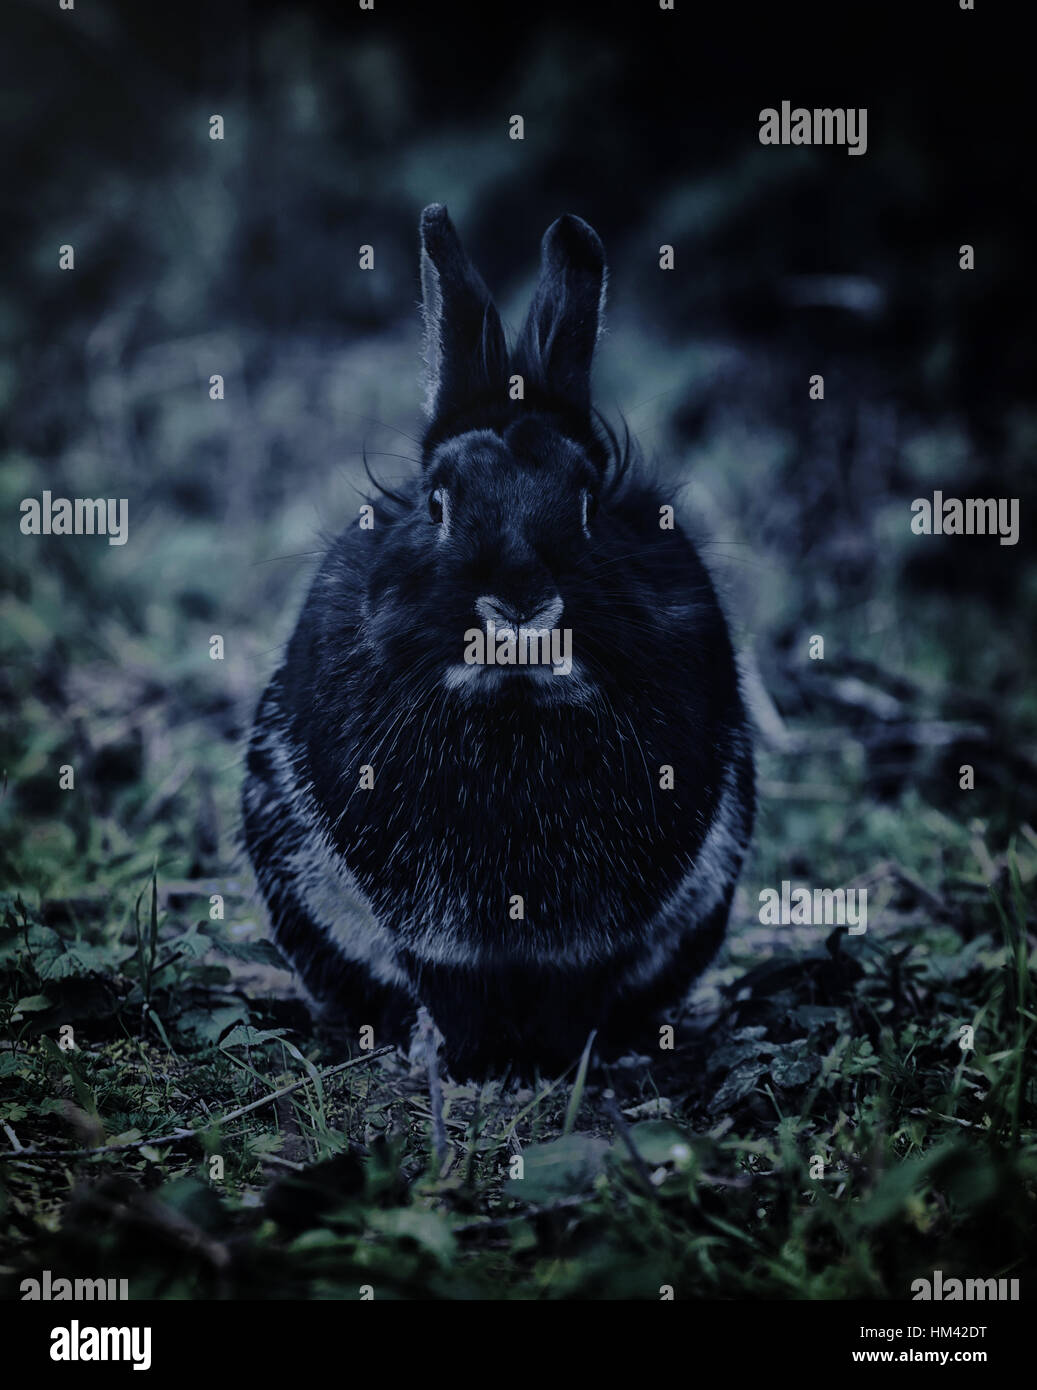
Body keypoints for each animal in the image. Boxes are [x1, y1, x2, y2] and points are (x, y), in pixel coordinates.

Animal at [242, 204, 755, 1077]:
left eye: (587, 505)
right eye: (438, 503)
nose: (520, 607)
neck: (513, 705)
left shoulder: (598, 932)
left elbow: (577, 987)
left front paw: (557, 1066)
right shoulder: (425, 920)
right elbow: (444, 981)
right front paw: (460, 1065)